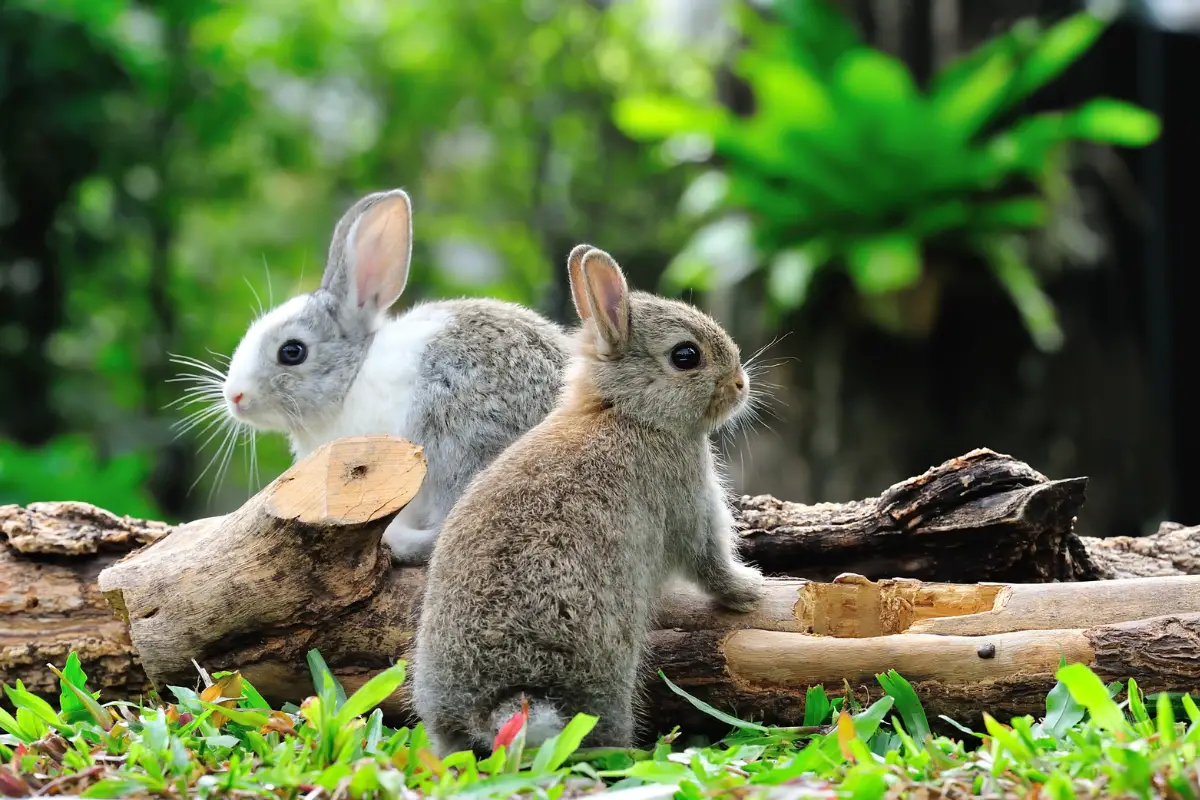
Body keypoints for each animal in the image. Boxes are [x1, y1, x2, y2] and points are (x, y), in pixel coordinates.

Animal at [412, 244, 766, 756]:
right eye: (686, 356)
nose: (740, 384)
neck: (626, 411)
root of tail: (494, 704)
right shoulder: (688, 501)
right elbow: (709, 563)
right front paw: (750, 590)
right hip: (606, 671)